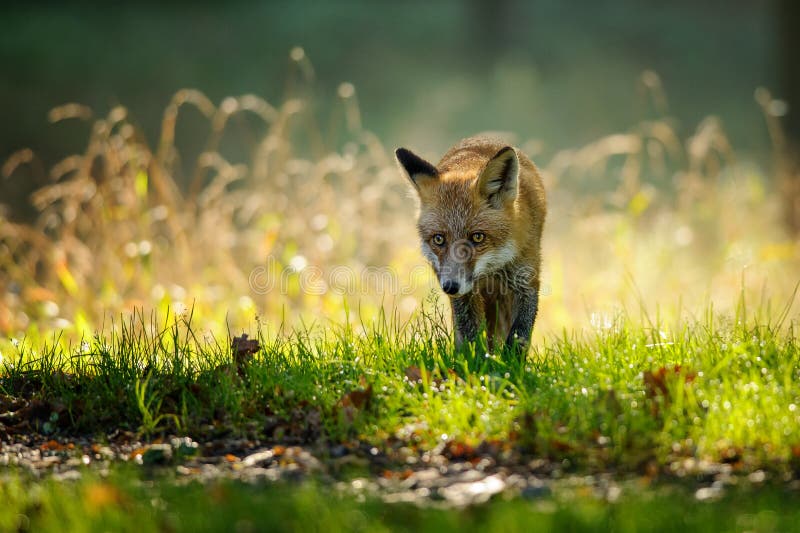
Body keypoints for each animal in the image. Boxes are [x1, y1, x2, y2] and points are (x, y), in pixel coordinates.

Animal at [396, 136, 546, 355]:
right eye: (438, 239)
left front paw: (511, 362)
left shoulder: (526, 279)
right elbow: (471, 333)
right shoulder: (464, 294)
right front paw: (479, 360)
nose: (450, 286)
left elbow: (519, 334)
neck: (491, 270)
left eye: (477, 237)